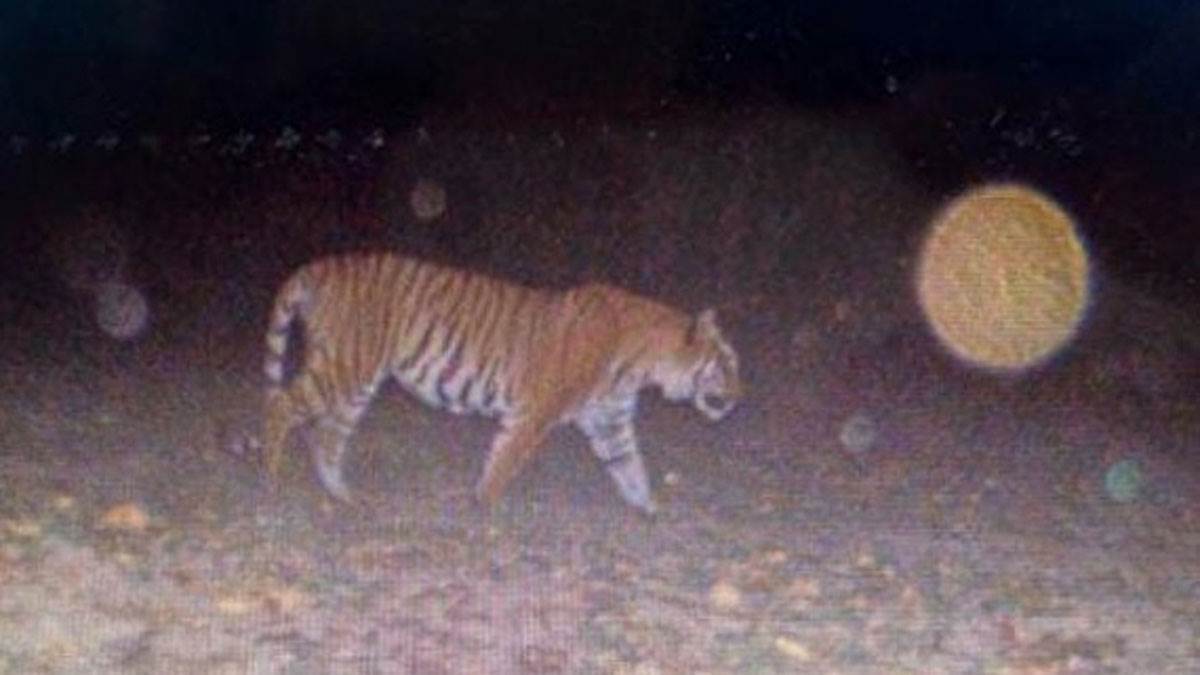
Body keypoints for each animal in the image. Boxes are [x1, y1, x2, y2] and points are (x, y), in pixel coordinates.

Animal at [255, 251, 742, 515]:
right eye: (727, 364)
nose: (742, 399)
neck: (645, 364)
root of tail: (320, 266)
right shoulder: (536, 411)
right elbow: (504, 460)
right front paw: (485, 507)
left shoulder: (609, 419)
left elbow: (629, 465)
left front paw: (648, 507)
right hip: (344, 366)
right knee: (282, 407)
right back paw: (272, 479)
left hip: (355, 383)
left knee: (326, 435)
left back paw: (341, 494)